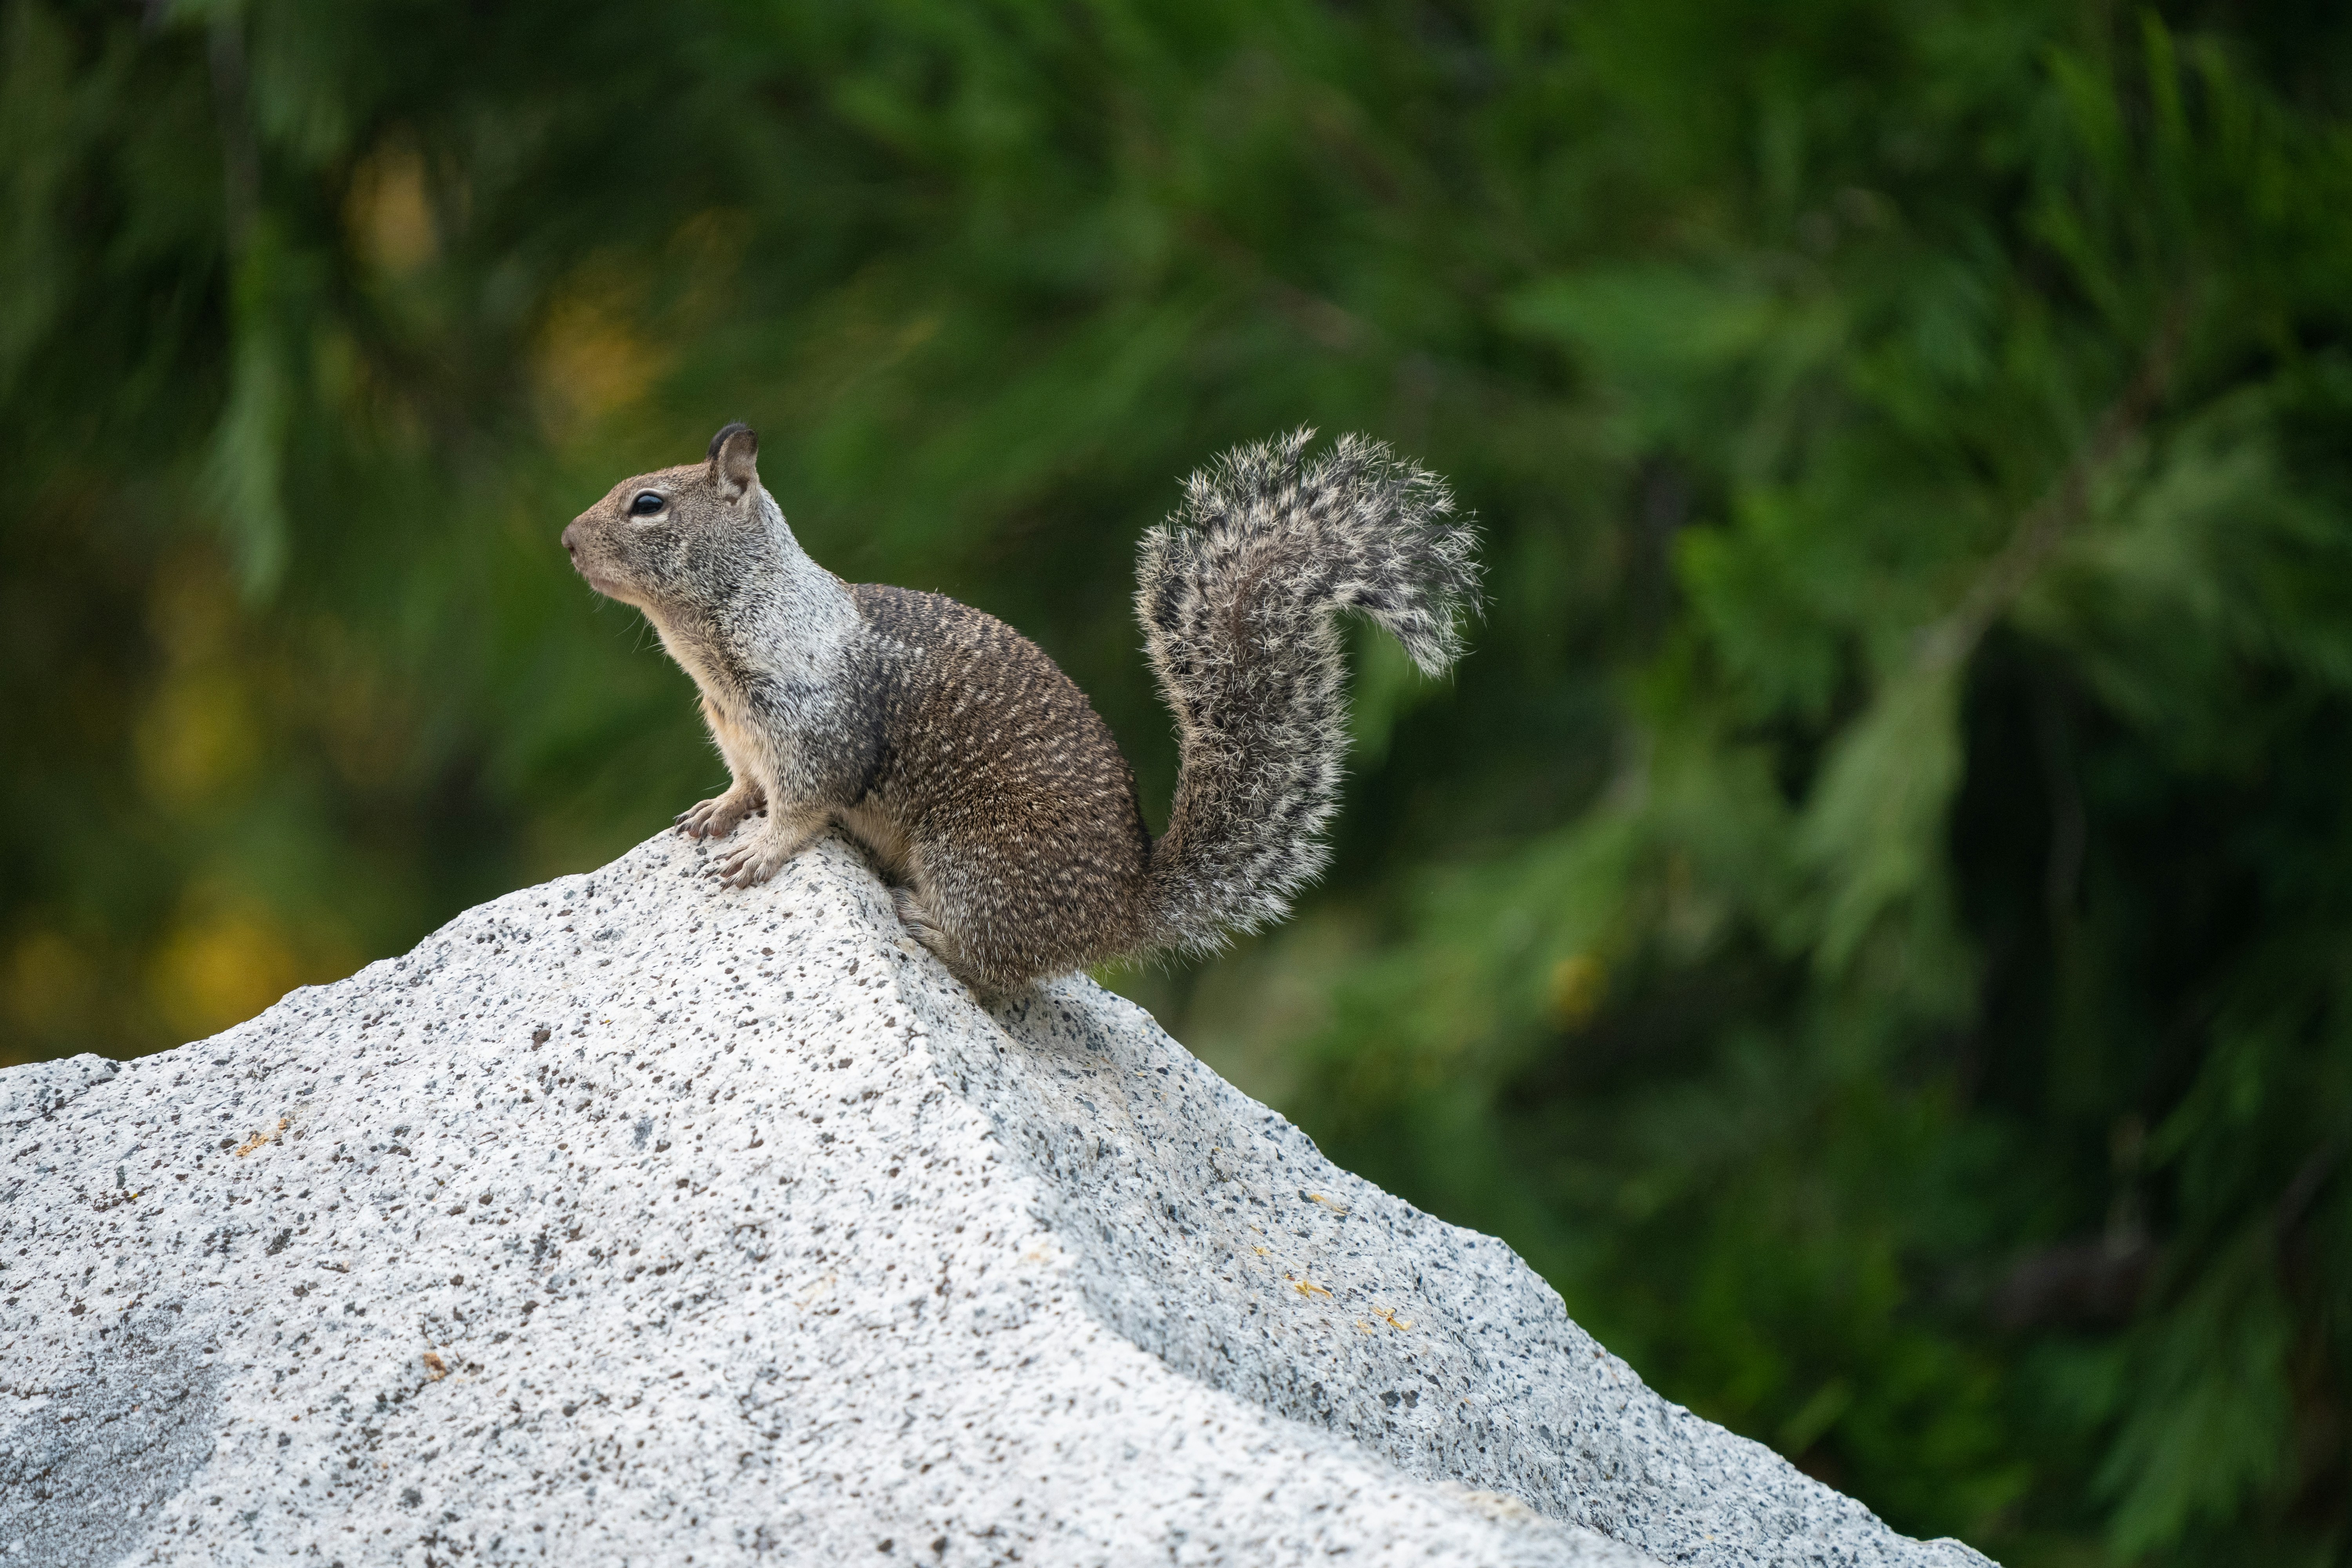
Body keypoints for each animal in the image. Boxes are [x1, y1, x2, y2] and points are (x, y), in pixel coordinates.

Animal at [561, 423, 1479, 994]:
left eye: (648, 503)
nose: (567, 542)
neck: (718, 647)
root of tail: (1123, 908)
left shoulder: (814, 731)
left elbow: (802, 804)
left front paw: (759, 852)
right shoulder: (739, 734)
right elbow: (745, 786)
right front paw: (717, 812)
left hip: (970, 862)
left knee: (998, 967)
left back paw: (929, 929)